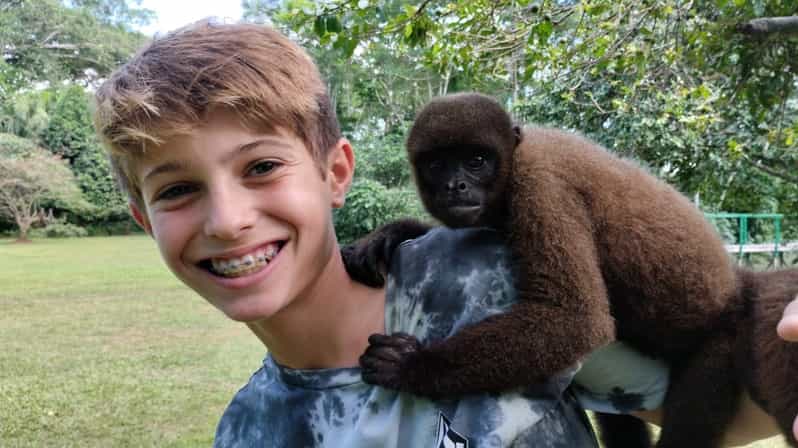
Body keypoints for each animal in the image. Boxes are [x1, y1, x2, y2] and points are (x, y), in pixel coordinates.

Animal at [342, 92, 798, 447]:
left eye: (476, 161)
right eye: (437, 165)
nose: (457, 186)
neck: (512, 159)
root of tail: (737, 284)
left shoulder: (541, 186)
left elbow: (576, 318)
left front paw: (411, 366)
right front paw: (391, 235)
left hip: (727, 342)